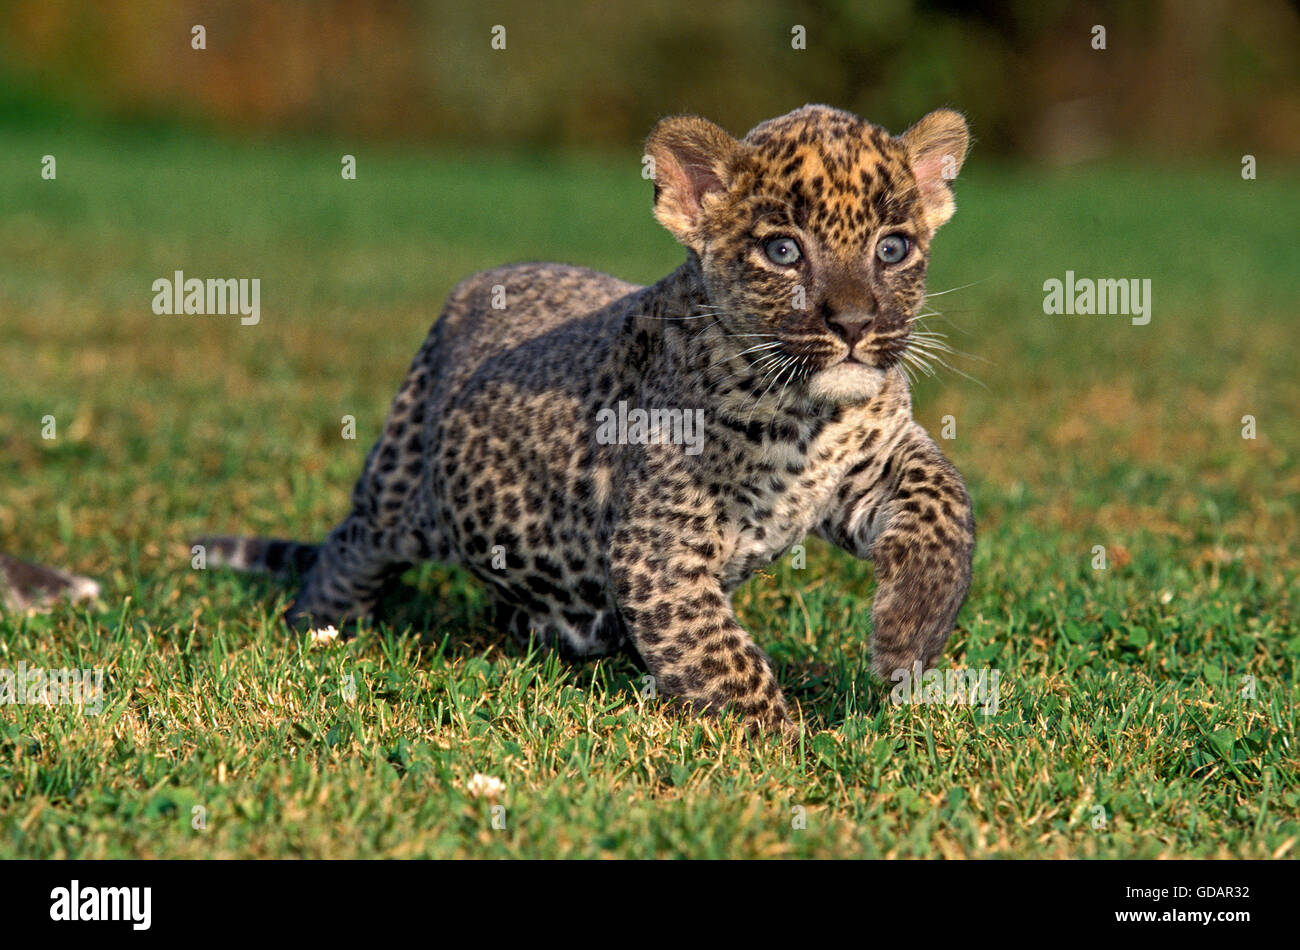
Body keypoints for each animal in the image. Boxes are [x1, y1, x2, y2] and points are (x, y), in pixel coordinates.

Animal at [197, 104, 976, 734]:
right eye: (782, 249)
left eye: (893, 248)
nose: (854, 323)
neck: (806, 416)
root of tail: (482, 282)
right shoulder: (659, 546)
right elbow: (719, 657)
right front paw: (784, 751)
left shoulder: (874, 459)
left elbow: (948, 502)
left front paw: (909, 634)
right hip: (399, 482)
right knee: (350, 546)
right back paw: (318, 631)